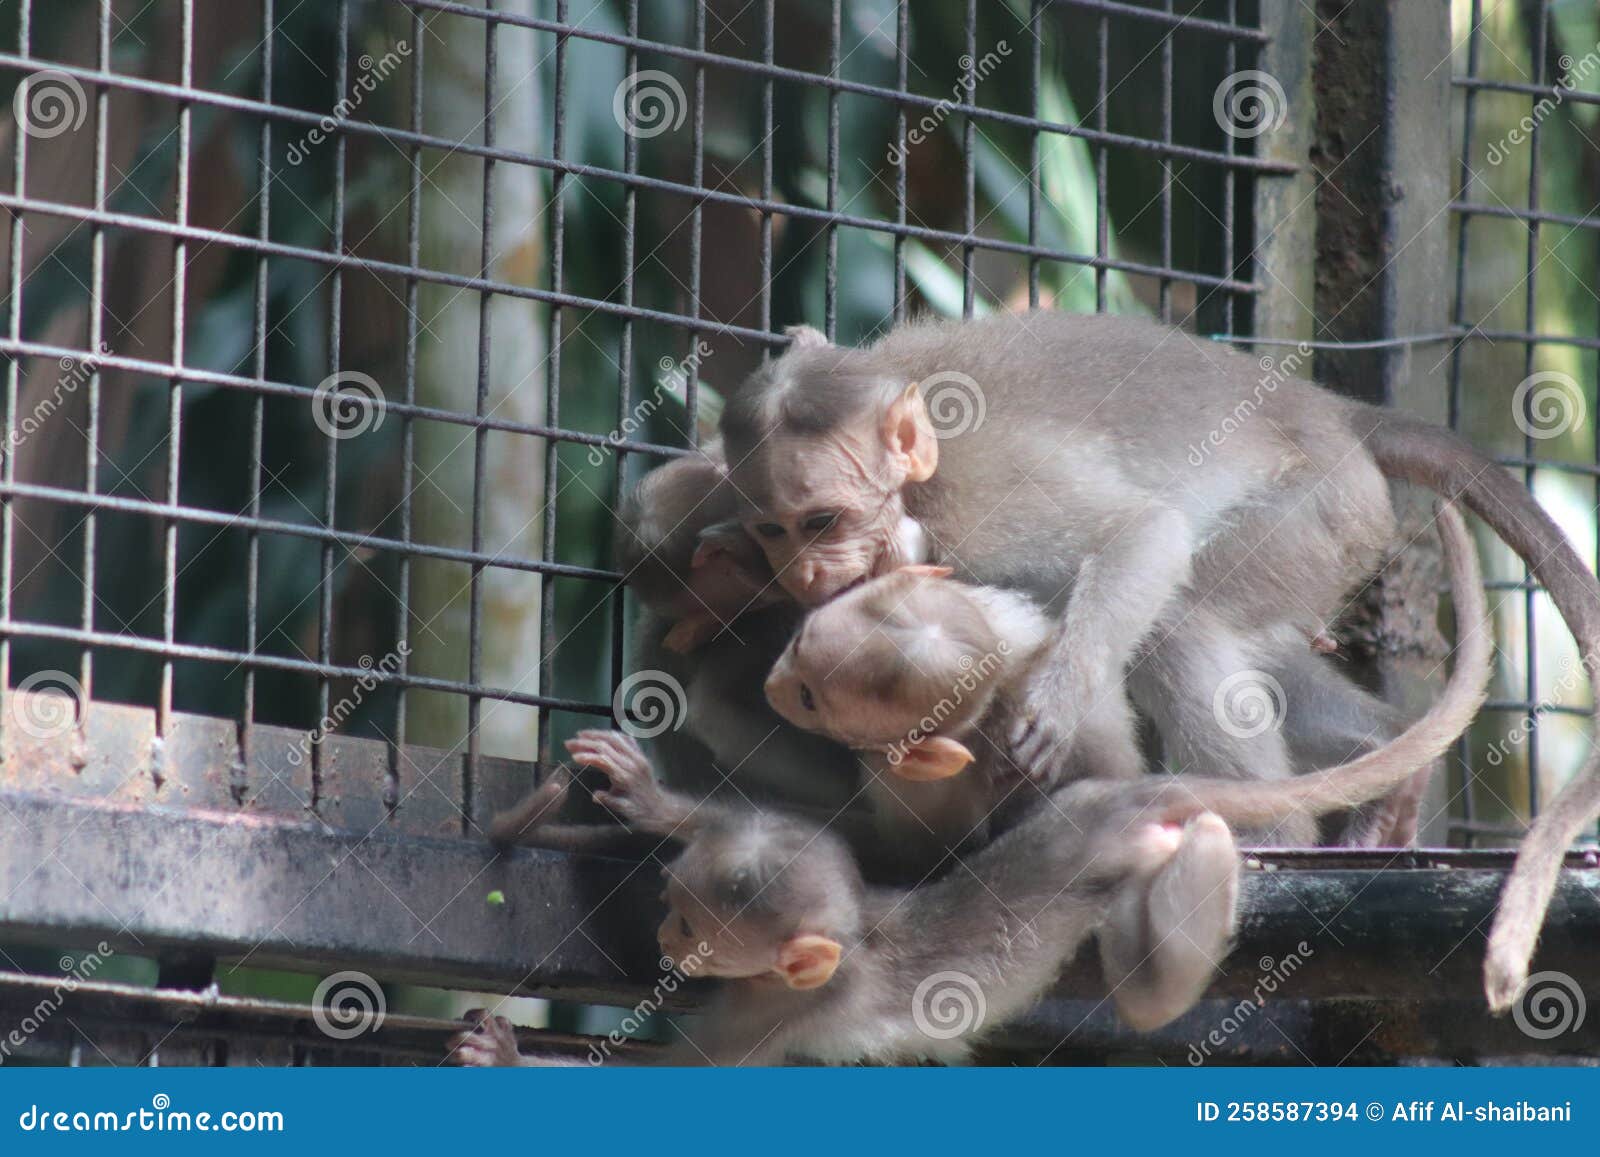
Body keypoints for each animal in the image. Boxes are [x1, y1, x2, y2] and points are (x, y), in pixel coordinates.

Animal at [717, 310, 1600, 1008]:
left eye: (823, 520)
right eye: (772, 528)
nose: (805, 575)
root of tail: (1335, 412)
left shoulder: (985, 498)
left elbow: (1142, 532)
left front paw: (1056, 701)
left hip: (1321, 512)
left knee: (1183, 617)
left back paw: (1273, 831)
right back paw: (1386, 762)